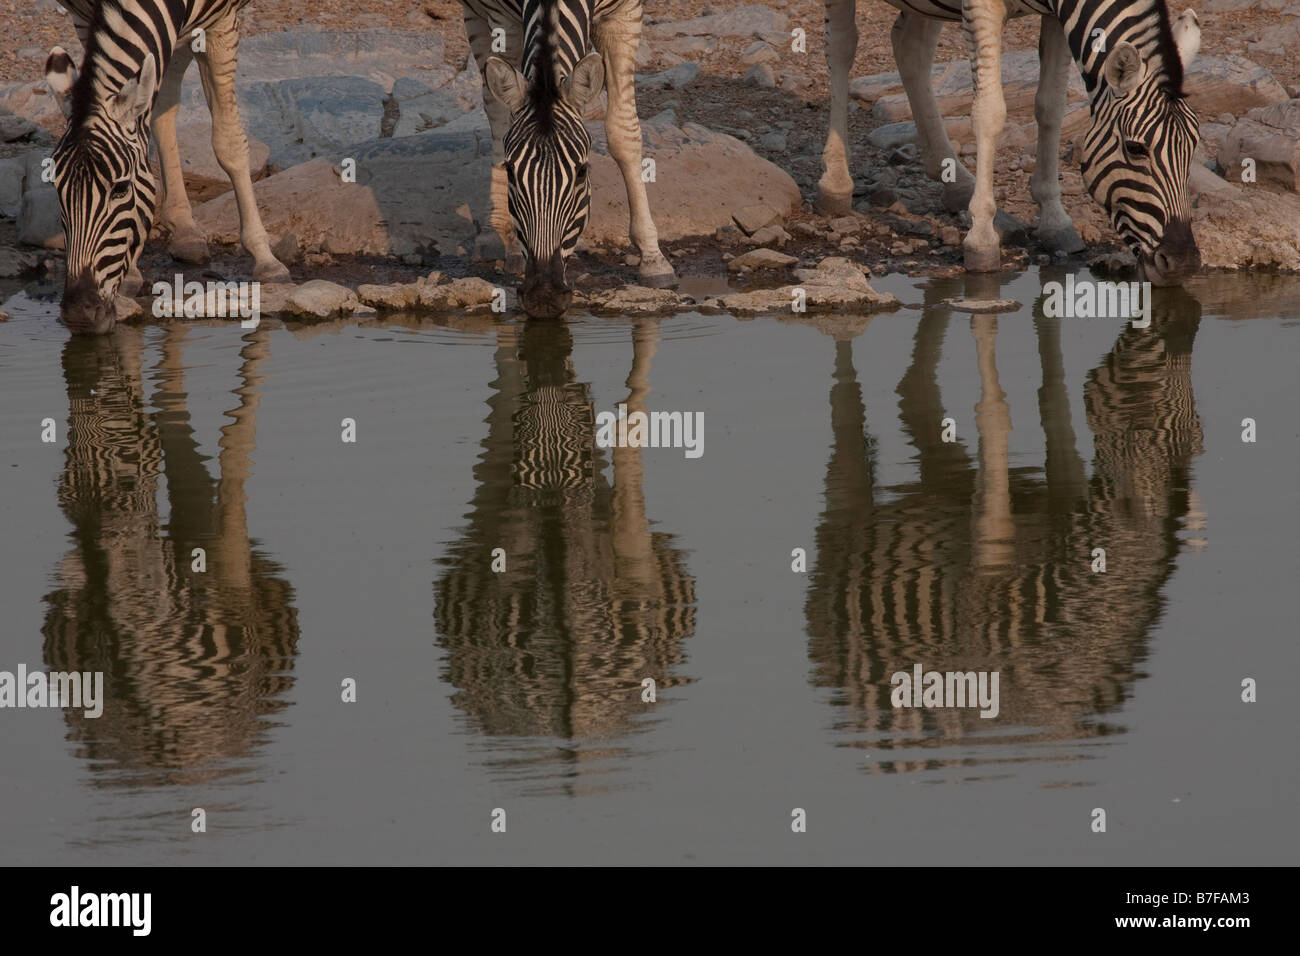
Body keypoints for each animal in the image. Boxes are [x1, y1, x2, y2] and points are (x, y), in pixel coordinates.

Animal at [44, 0, 288, 335]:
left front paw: (264, 257)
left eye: (121, 188)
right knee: (163, 102)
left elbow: (229, 144)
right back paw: (183, 231)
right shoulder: (84, 17)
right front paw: (132, 271)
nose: (80, 314)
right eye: (57, 190)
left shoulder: (222, 23)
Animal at [462, 0, 676, 318]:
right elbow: (505, 122)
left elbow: (623, 133)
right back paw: (499, 235)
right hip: (476, 15)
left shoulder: (625, 16)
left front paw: (653, 258)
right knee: (495, 112)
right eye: (511, 171)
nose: (544, 296)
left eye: (582, 172)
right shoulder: (504, 22)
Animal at [818, 1, 1202, 284]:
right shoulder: (981, 6)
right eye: (1136, 149)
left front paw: (1054, 219)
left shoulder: (1055, 16)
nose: (1183, 264)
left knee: (911, 46)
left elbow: (1051, 104)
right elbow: (989, 112)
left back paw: (956, 183)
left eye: (1194, 147)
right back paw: (836, 182)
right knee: (841, 43)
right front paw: (982, 239)